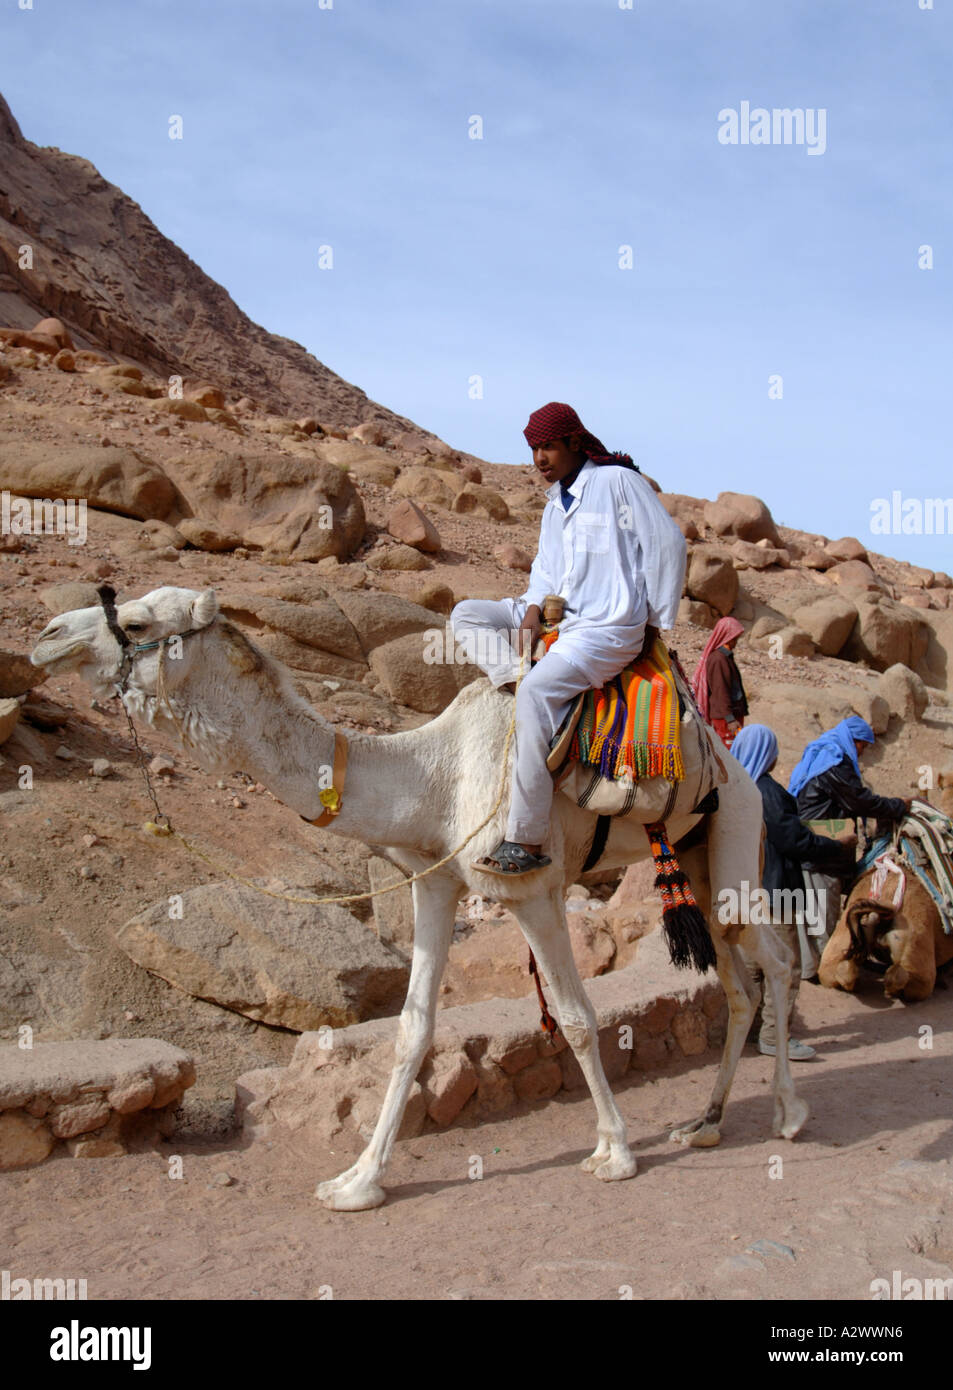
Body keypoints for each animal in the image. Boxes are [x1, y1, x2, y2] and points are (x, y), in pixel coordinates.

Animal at [31, 585, 807, 1211]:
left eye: (135, 619)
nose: (47, 634)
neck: (433, 776)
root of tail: (734, 761)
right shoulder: (435, 883)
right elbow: (411, 1030)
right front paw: (355, 1183)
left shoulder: (529, 888)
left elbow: (577, 1017)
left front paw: (613, 1153)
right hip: (698, 861)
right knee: (738, 979)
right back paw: (705, 1124)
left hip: (735, 831)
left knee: (772, 957)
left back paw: (788, 1117)